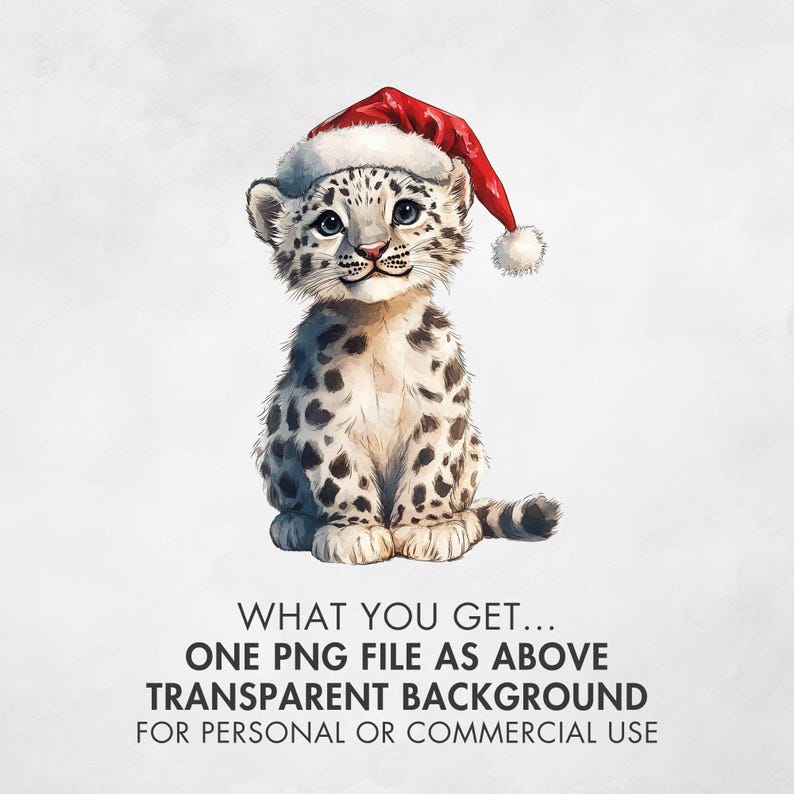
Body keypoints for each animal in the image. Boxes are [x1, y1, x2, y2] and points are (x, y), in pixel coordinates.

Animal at [246, 157, 561, 564]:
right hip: (275, 443)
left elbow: (431, 467)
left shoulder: (440, 411)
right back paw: (294, 524)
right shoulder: (323, 417)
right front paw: (356, 533)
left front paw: (428, 528)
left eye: (405, 211)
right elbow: (341, 473)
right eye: (329, 222)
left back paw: (463, 521)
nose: (373, 248)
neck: (380, 322)